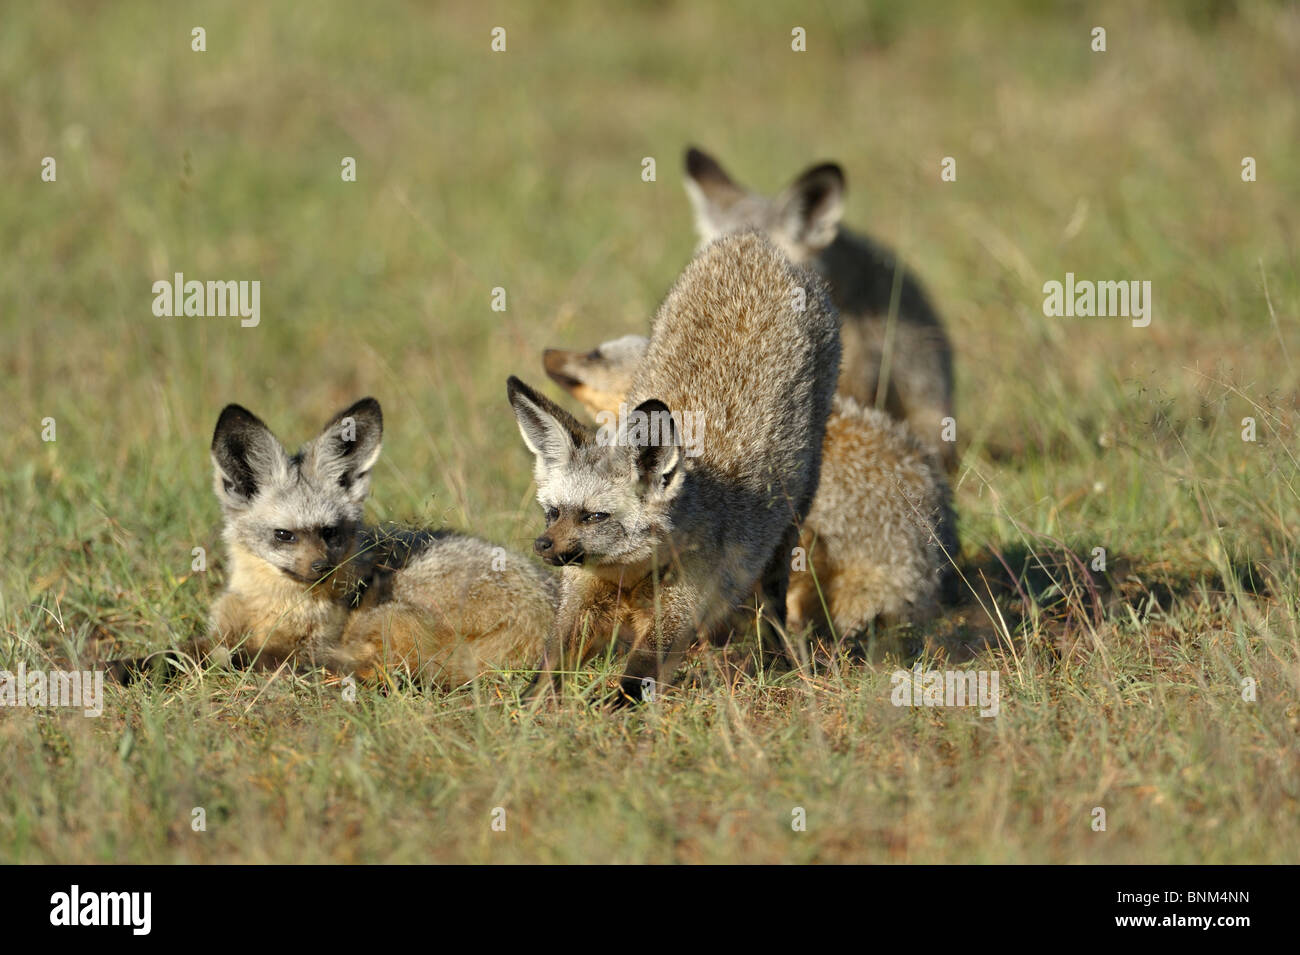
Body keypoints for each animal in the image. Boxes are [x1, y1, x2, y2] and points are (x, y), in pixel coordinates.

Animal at [159, 397, 556, 687]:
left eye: (330, 532)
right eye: (284, 535)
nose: (321, 567)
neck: (271, 606)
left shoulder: (313, 639)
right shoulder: (224, 629)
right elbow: (178, 649)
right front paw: (149, 664)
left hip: (383, 610)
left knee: (379, 671)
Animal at [509, 232, 841, 700]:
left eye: (594, 517)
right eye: (553, 512)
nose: (542, 545)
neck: (630, 579)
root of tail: (749, 244)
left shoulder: (675, 617)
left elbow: (633, 685)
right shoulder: (581, 602)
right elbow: (543, 675)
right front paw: (525, 708)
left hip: (789, 527)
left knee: (773, 606)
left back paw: (777, 659)